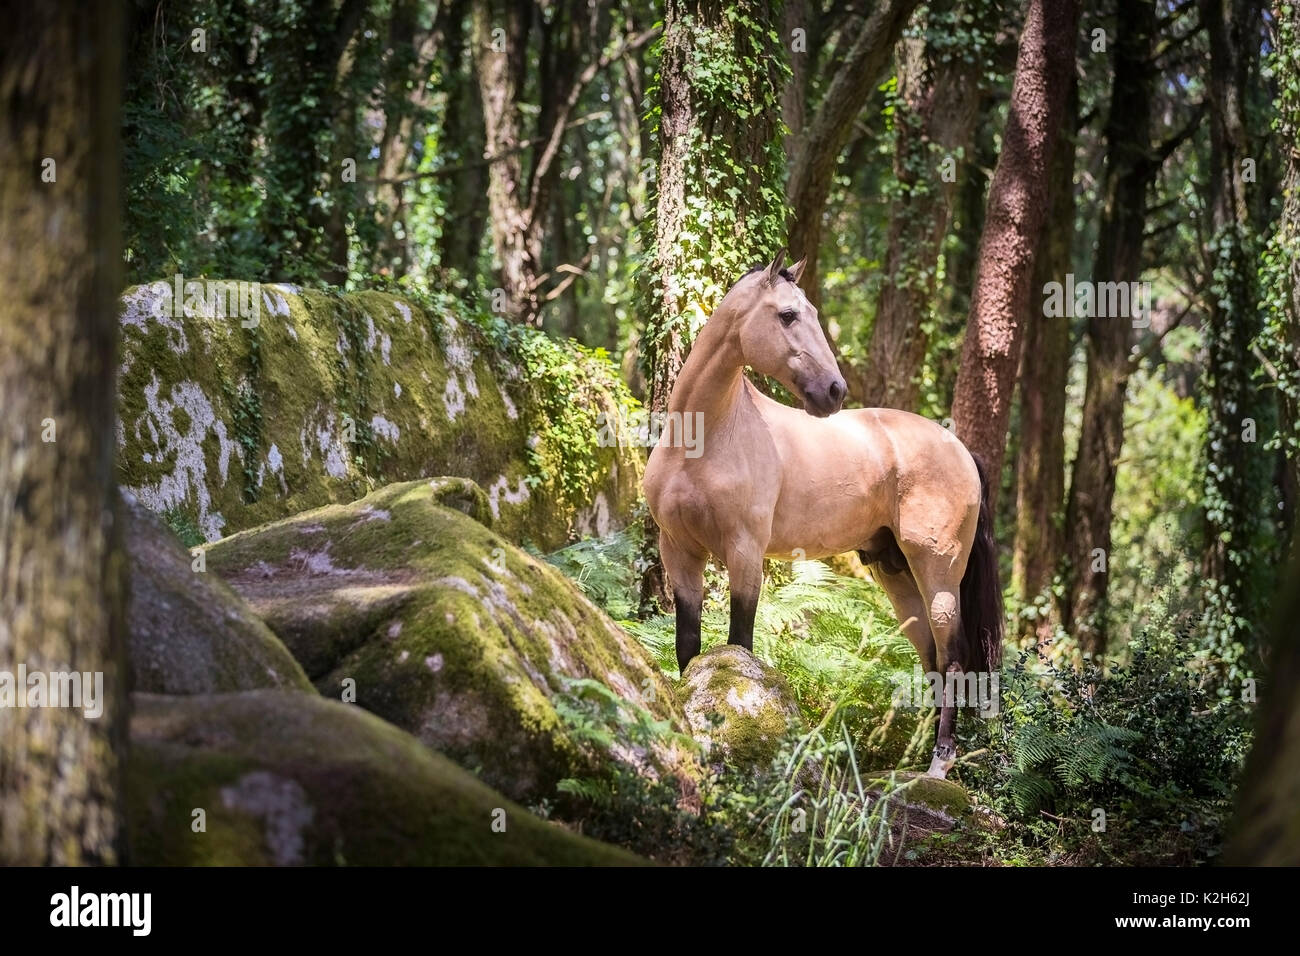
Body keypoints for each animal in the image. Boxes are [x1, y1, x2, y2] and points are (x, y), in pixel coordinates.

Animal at [642, 251, 1003, 778]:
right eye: (789, 314)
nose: (834, 391)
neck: (703, 440)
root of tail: (960, 449)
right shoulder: (680, 552)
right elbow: (688, 649)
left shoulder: (745, 553)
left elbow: (739, 645)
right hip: (897, 576)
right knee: (933, 660)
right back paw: (913, 764)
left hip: (938, 573)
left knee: (954, 659)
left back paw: (939, 764)